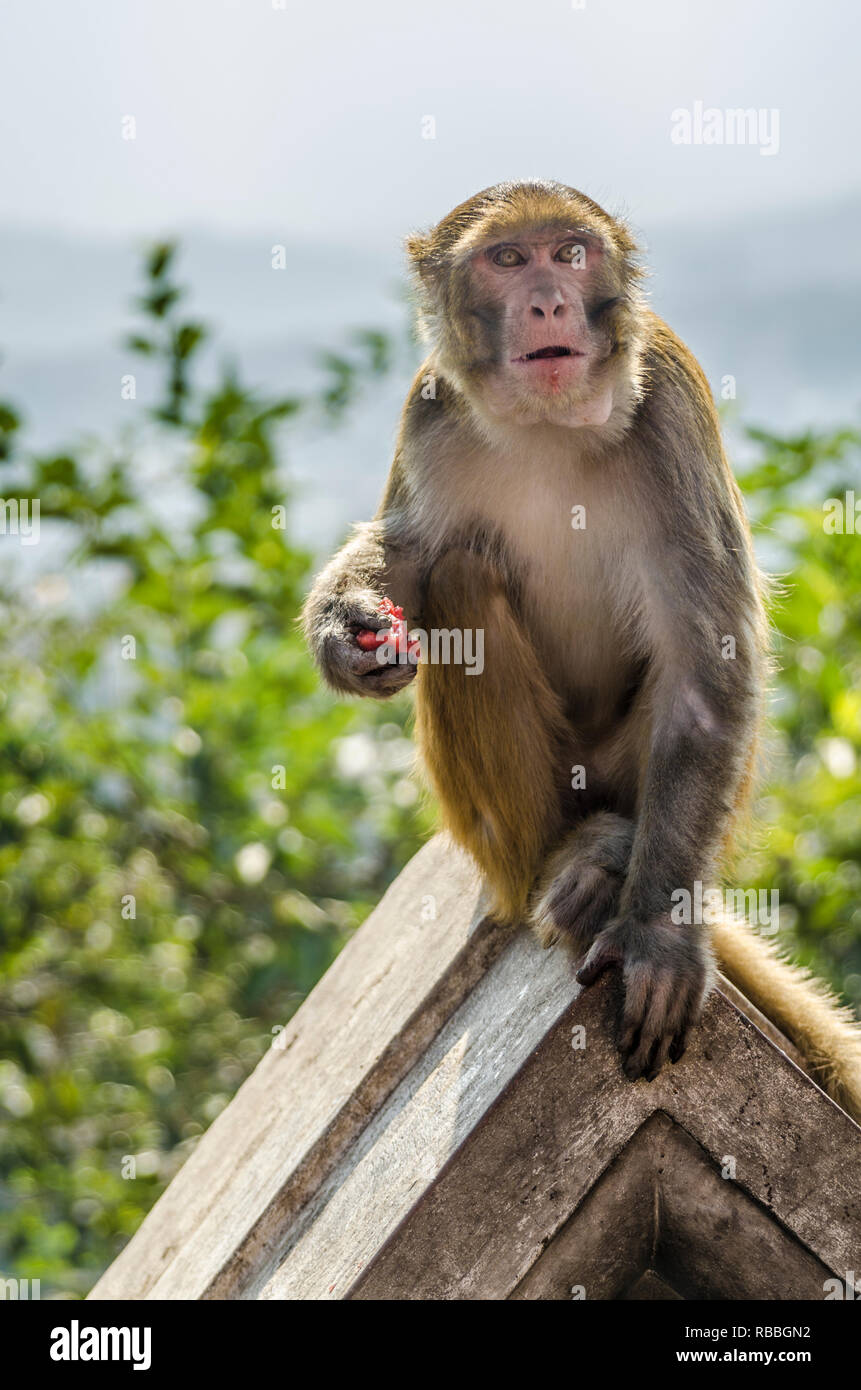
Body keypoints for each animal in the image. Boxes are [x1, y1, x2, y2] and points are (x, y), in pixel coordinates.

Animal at [303, 180, 861, 1121]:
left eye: (569, 253)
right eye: (506, 259)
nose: (547, 301)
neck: (549, 426)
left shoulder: (672, 407)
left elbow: (706, 668)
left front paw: (661, 940)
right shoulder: (429, 408)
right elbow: (410, 554)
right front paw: (346, 633)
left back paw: (609, 860)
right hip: (495, 838)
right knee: (459, 576)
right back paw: (565, 859)